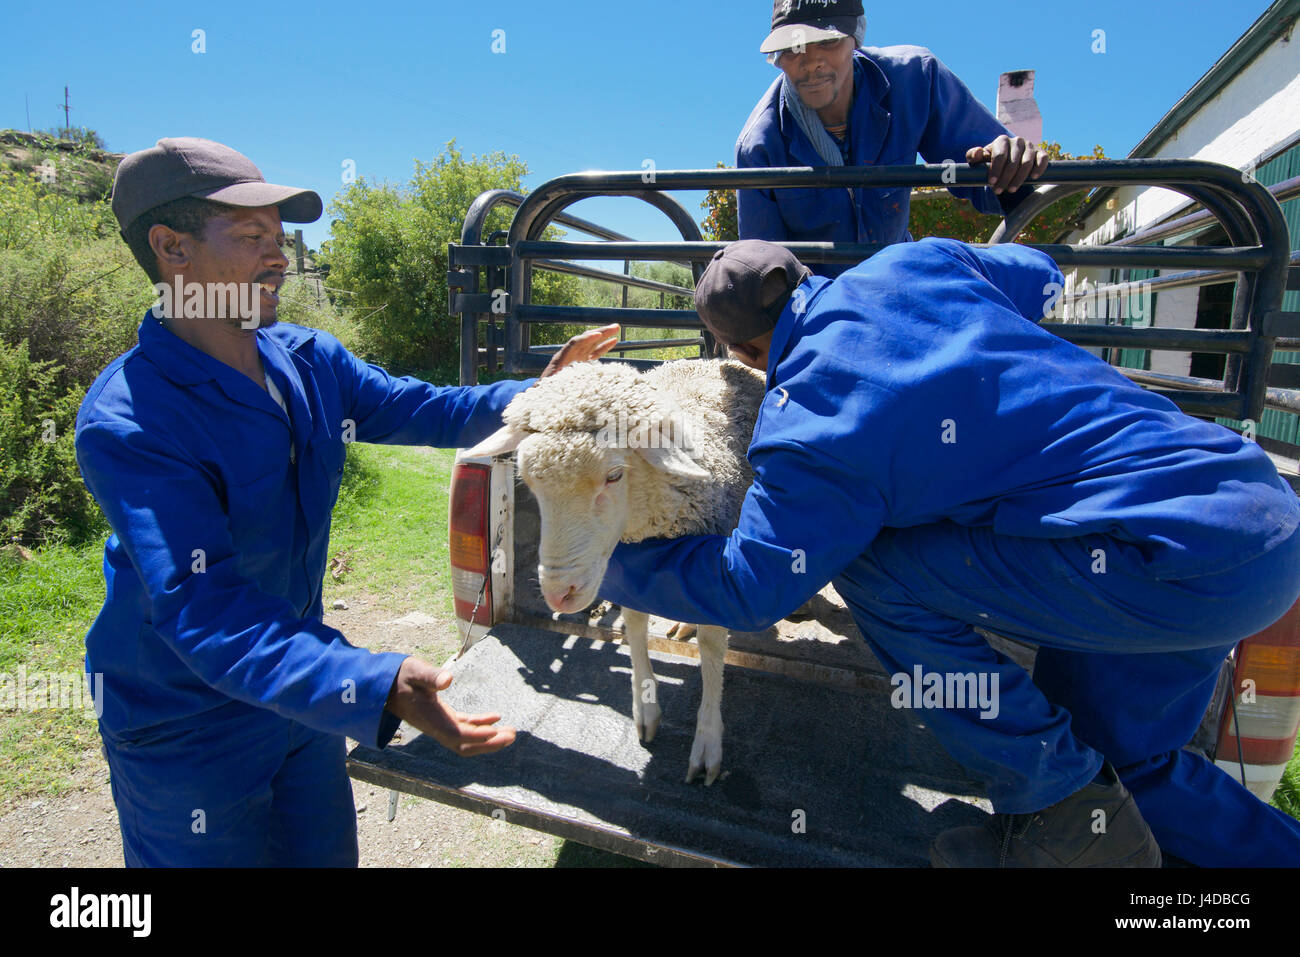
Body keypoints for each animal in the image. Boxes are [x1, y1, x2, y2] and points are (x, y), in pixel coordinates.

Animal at [465, 357, 767, 784]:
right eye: (530, 481)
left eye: (614, 475)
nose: (559, 593)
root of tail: (717, 359)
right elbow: (635, 624)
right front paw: (646, 711)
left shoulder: (721, 564)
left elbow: (711, 648)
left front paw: (708, 742)